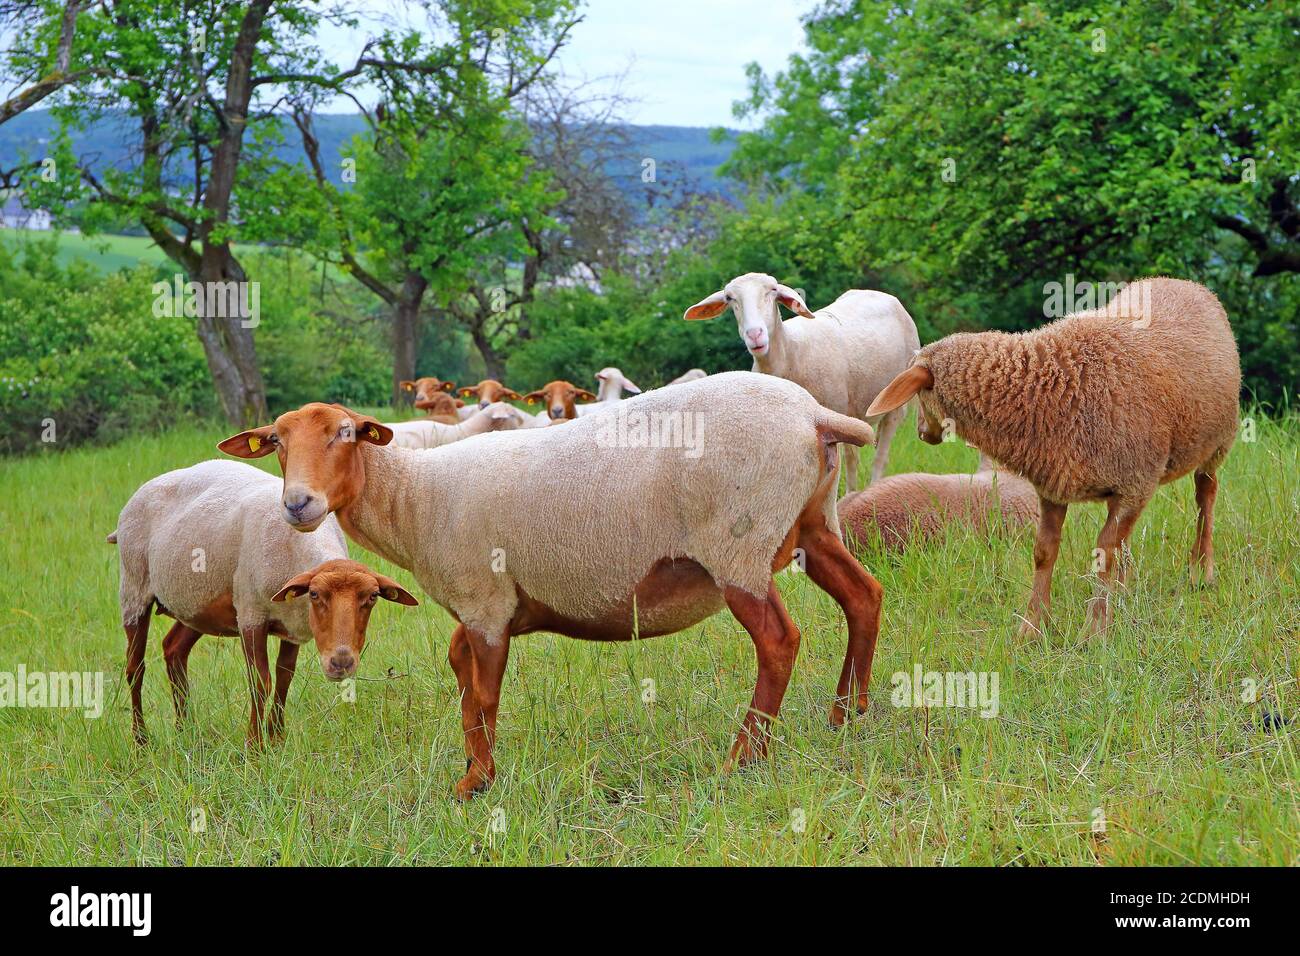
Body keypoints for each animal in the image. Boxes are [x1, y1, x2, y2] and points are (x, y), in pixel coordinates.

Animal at [108, 460, 417, 745]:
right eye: (315, 595)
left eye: (372, 597)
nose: (341, 662)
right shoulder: (250, 615)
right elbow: (260, 682)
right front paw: (255, 746)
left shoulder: (292, 623)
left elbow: (284, 678)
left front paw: (277, 738)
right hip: (134, 588)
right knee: (135, 668)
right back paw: (141, 741)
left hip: (197, 605)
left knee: (174, 650)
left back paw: (186, 730)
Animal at [684, 273, 920, 492]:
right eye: (730, 298)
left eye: (772, 290)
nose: (755, 334)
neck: (790, 353)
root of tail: (880, 294)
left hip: (892, 403)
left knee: (878, 457)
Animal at [865, 277, 1241, 635]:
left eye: (918, 394)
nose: (921, 433)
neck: (1052, 386)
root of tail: (1186, 284)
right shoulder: (1054, 484)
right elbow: (1045, 551)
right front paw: (1032, 627)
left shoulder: (1135, 483)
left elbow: (1104, 554)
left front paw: (1094, 631)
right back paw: (1123, 591)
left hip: (1218, 442)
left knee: (1205, 497)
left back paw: (1201, 572)